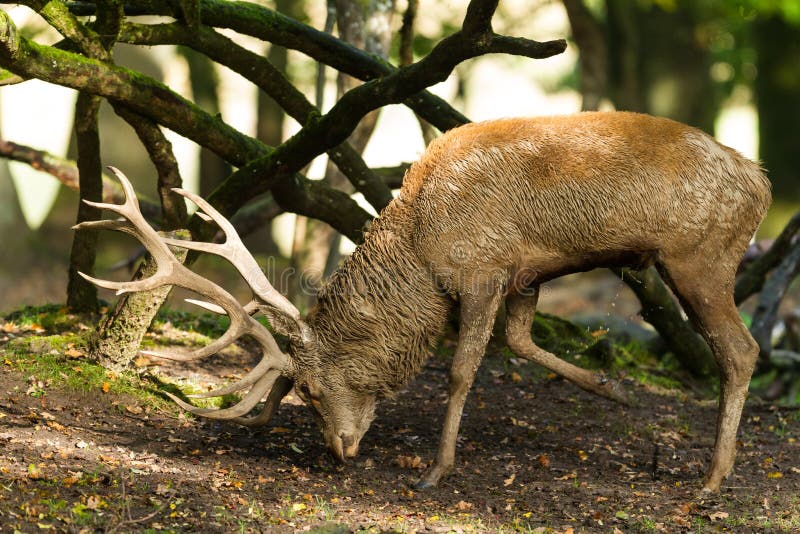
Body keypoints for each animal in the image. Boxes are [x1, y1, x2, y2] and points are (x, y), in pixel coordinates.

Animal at [76, 111, 771, 491]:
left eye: (313, 390)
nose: (341, 450)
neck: (419, 243)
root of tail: (761, 182)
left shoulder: (483, 269)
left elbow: (463, 369)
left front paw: (436, 470)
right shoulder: (526, 272)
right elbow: (520, 339)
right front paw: (613, 388)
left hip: (701, 258)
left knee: (742, 350)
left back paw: (713, 478)